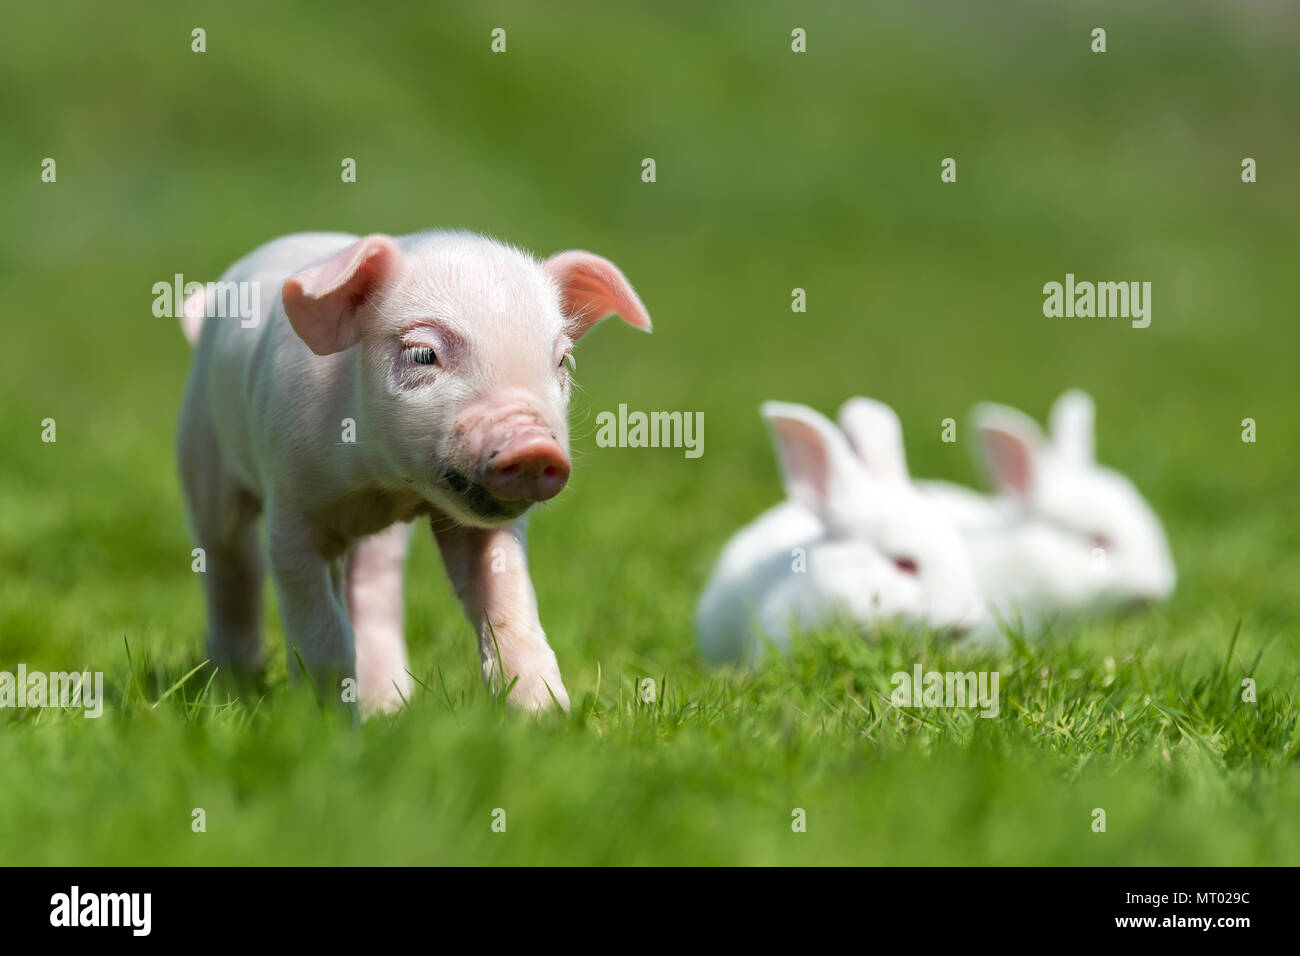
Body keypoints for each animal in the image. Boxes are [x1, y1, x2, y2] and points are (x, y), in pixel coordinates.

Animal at [176, 231, 651, 715]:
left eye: (562, 362)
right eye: (424, 354)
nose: (533, 445)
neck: (382, 482)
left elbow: (509, 609)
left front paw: (545, 717)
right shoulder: (291, 508)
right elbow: (321, 630)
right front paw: (327, 721)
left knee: (373, 591)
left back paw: (388, 707)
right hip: (200, 452)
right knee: (232, 562)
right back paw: (233, 682)